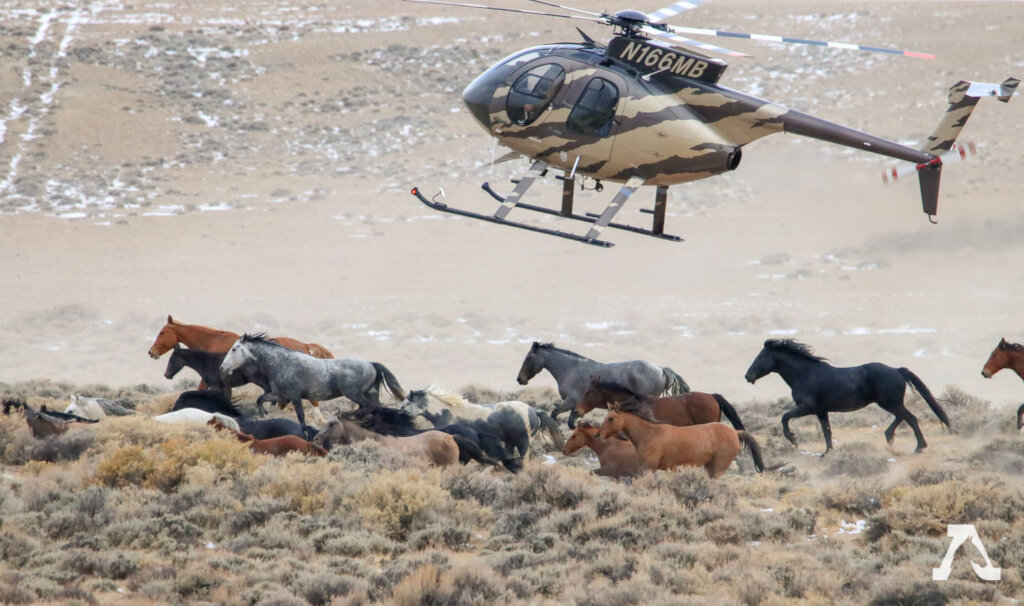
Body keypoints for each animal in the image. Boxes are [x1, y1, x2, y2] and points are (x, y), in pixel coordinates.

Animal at [219, 334, 407, 427]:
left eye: (234, 349)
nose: (222, 367)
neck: (282, 363)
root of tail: (371, 364)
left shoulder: (293, 397)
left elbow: (301, 417)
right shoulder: (281, 396)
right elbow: (260, 399)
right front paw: (263, 413)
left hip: (354, 394)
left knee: (367, 408)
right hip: (370, 394)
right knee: (377, 409)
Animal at [398, 386, 565, 462]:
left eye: (405, 404)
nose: (397, 413)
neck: (447, 411)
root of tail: (534, 411)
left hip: (522, 441)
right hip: (510, 442)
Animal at [515, 342, 690, 424]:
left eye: (528, 358)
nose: (519, 379)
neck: (571, 369)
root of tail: (661, 369)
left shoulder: (571, 401)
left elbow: (555, 414)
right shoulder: (575, 405)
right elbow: (571, 422)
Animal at [597, 402, 766, 478]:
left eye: (610, 418)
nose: (598, 435)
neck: (649, 433)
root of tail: (735, 432)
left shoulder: (649, 468)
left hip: (718, 467)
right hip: (710, 466)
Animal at [744, 339, 951, 455]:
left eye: (761, 357)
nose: (748, 376)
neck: (804, 374)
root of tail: (897, 370)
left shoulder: (806, 408)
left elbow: (785, 416)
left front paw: (793, 439)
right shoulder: (821, 411)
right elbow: (827, 431)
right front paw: (827, 453)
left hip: (890, 403)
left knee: (909, 417)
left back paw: (914, 445)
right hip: (889, 403)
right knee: (906, 417)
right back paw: (898, 440)